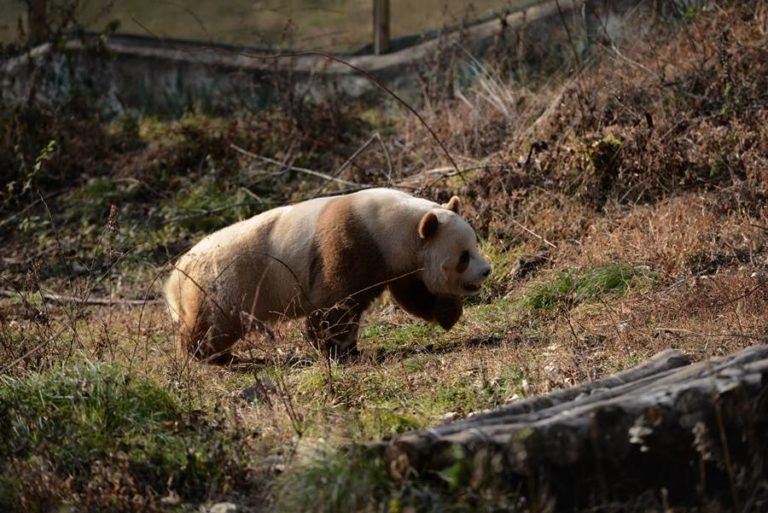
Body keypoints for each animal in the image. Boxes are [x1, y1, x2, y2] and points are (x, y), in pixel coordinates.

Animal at [163, 188, 491, 363]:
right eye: (463, 257)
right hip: (222, 285)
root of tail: (174, 278)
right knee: (214, 326)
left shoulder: (397, 261)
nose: (486, 270)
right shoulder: (351, 242)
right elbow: (335, 301)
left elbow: (414, 293)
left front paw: (448, 312)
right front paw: (335, 348)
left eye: (475, 244)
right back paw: (208, 355)